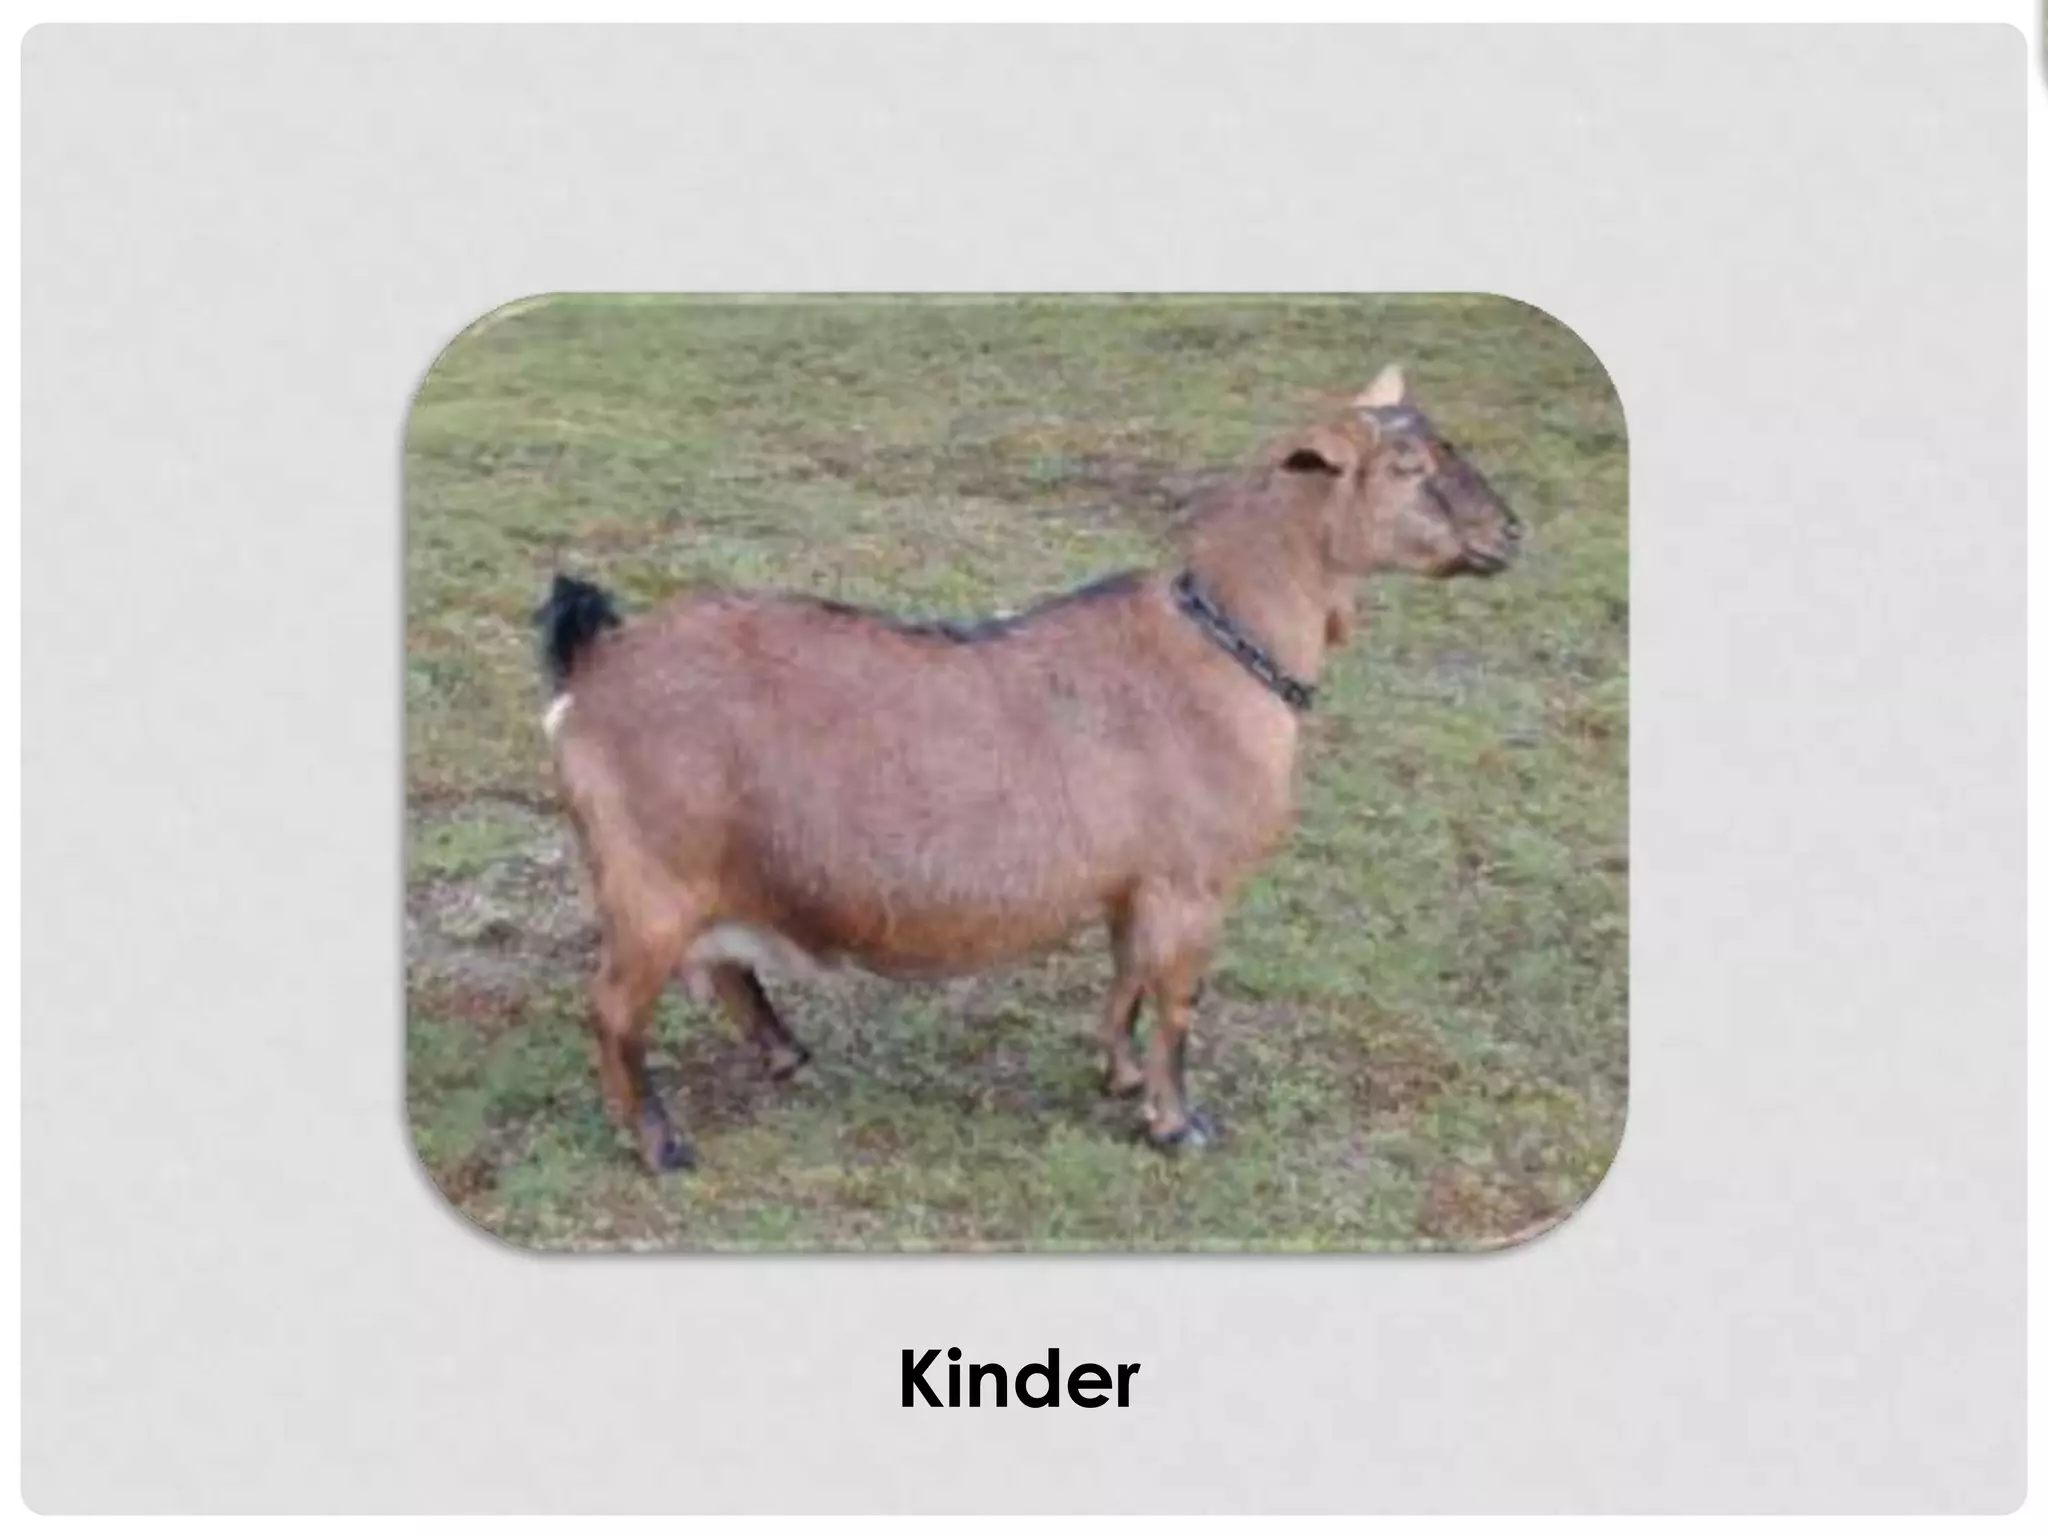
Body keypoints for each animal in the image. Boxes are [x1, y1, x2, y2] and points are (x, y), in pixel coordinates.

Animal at [534, 366, 1522, 1171]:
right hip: (653, 880)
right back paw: (661, 1143)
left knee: (725, 972)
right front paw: (1177, 1124)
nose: (1511, 532)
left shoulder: (1134, 883)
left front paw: (1118, 1078)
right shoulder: (1190, 884)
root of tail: (593, 666)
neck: (1225, 645)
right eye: (1409, 468)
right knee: (613, 1009)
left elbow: (1125, 983)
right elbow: (1177, 1005)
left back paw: (787, 1054)